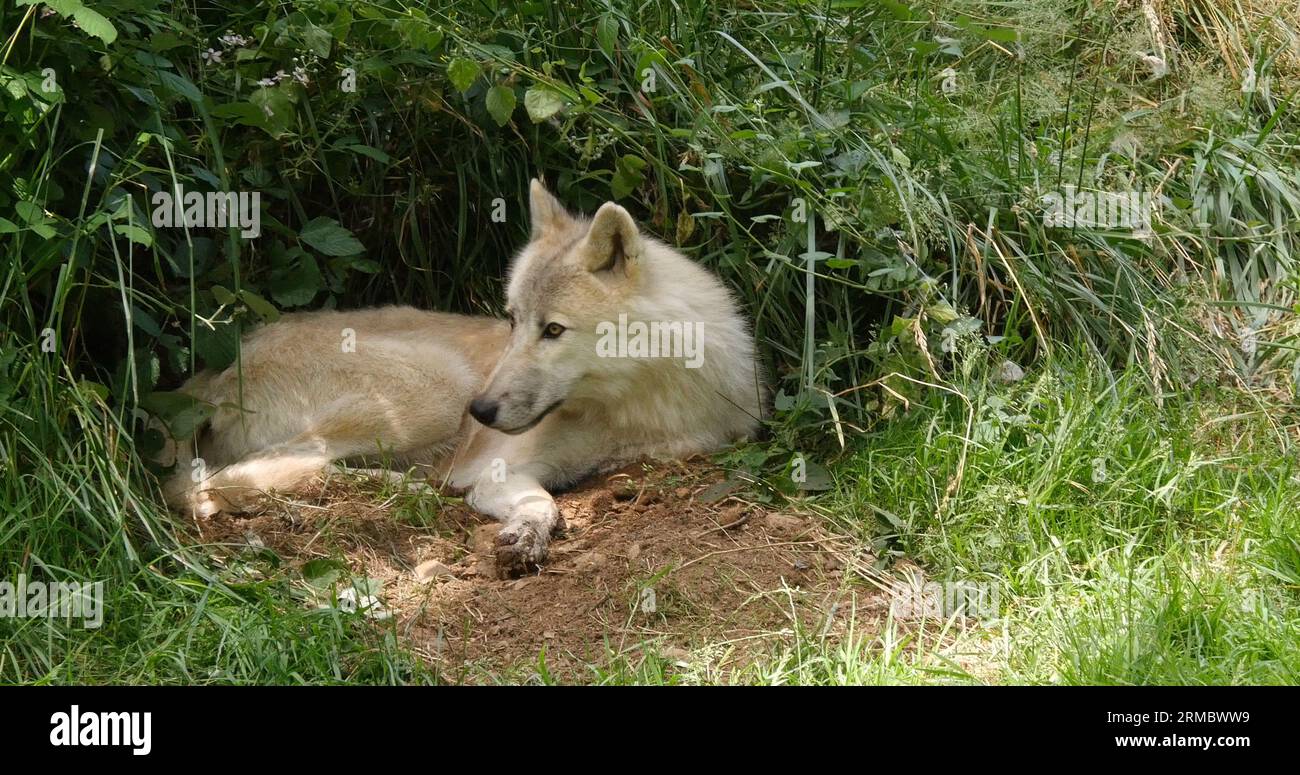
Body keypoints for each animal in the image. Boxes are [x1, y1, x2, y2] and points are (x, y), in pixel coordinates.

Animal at [163, 180, 766, 574]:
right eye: (512, 320)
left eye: (553, 330)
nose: (482, 411)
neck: (638, 408)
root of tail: (212, 375)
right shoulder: (497, 470)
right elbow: (542, 502)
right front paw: (526, 536)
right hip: (434, 393)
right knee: (222, 481)